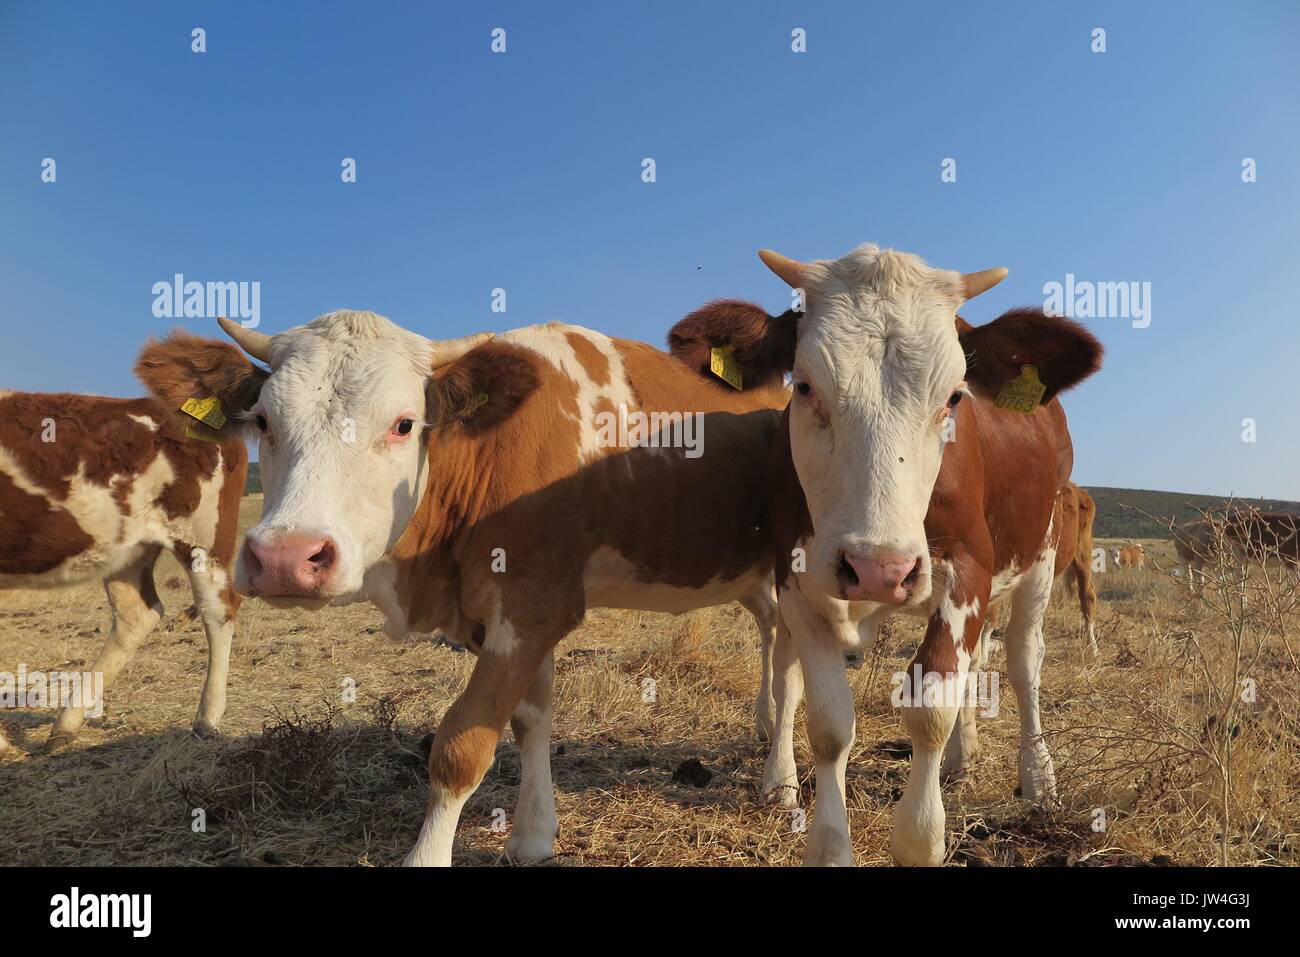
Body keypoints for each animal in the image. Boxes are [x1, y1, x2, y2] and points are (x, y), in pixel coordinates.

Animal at [0, 339, 251, 753]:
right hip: (129, 548)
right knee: (138, 614)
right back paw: (66, 725)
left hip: (203, 536)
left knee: (218, 609)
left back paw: (207, 719)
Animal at [136, 309, 793, 865]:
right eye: (264, 421)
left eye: (404, 424)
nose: (285, 558)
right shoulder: (504, 611)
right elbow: (529, 717)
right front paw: (534, 833)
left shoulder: (533, 605)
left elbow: (461, 745)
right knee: (767, 633)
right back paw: (762, 724)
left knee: (791, 673)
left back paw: (780, 779)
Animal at [669, 243, 1102, 866]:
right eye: (804, 387)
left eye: (954, 396)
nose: (880, 570)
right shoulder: (796, 577)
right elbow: (827, 720)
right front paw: (827, 841)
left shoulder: (968, 571)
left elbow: (932, 707)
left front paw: (921, 838)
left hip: (1040, 560)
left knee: (1023, 662)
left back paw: (1038, 778)